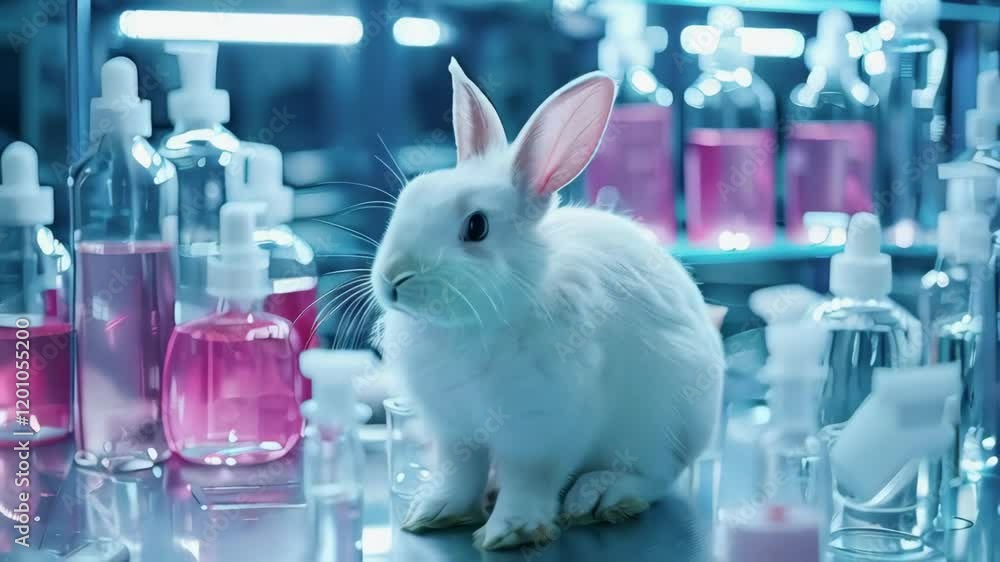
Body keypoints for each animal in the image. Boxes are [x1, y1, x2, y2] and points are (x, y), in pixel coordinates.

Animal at [371, 58, 725, 551]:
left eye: (477, 227)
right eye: (407, 201)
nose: (393, 280)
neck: (476, 323)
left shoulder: (540, 431)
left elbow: (528, 482)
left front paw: (509, 531)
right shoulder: (454, 430)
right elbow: (459, 476)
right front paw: (434, 512)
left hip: (662, 424)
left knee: (656, 477)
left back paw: (600, 497)